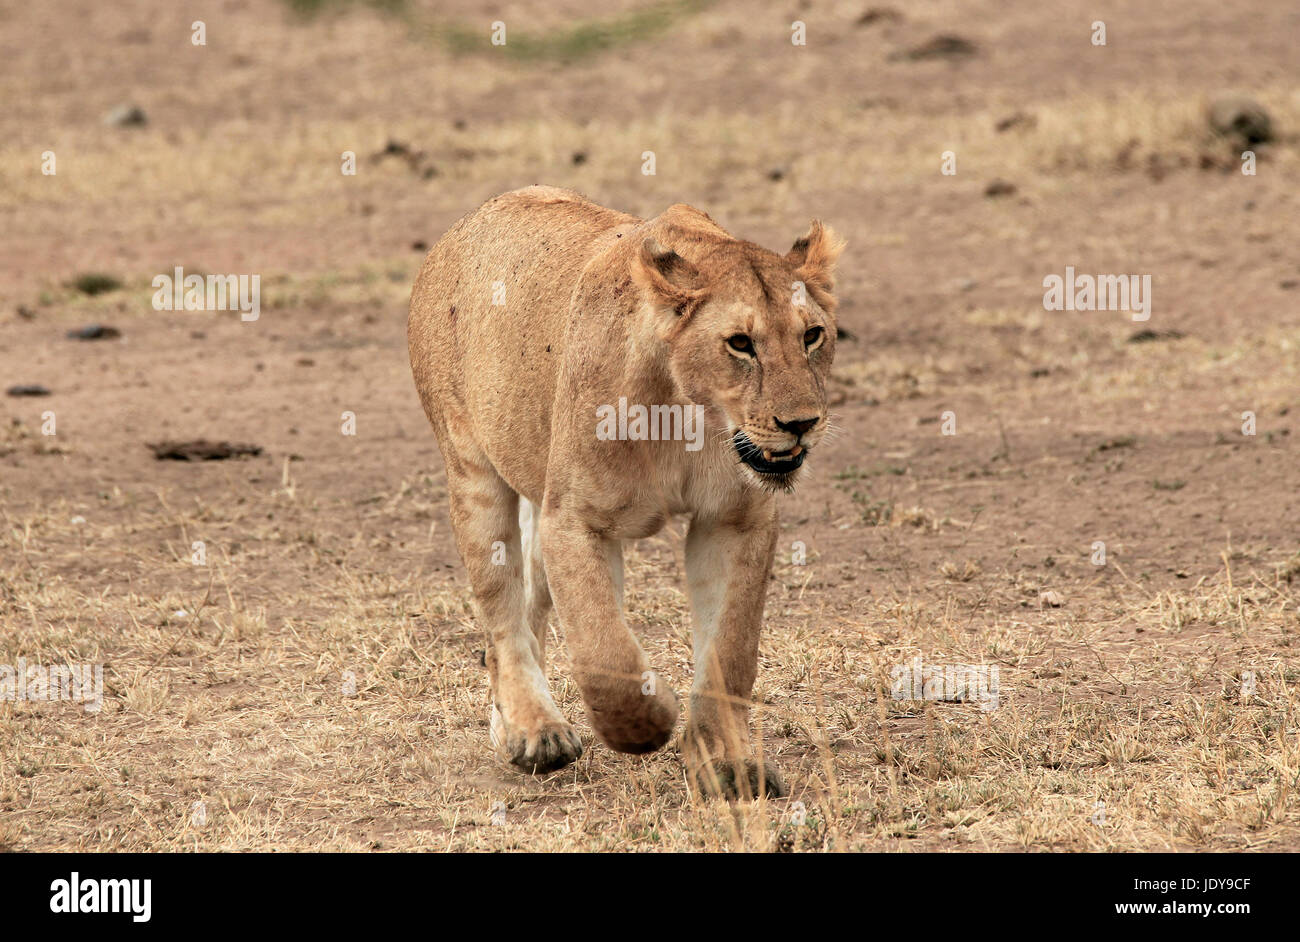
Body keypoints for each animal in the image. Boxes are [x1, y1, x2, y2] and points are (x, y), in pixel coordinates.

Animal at [408, 186, 843, 798]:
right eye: (740, 343)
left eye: (812, 335)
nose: (802, 423)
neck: (688, 415)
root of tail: (473, 217)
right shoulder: (575, 520)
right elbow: (605, 654)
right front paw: (647, 724)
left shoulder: (734, 520)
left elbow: (730, 649)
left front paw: (725, 762)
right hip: (472, 470)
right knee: (502, 615)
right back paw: (535, 732)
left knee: (529, 606)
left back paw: (513, 724)